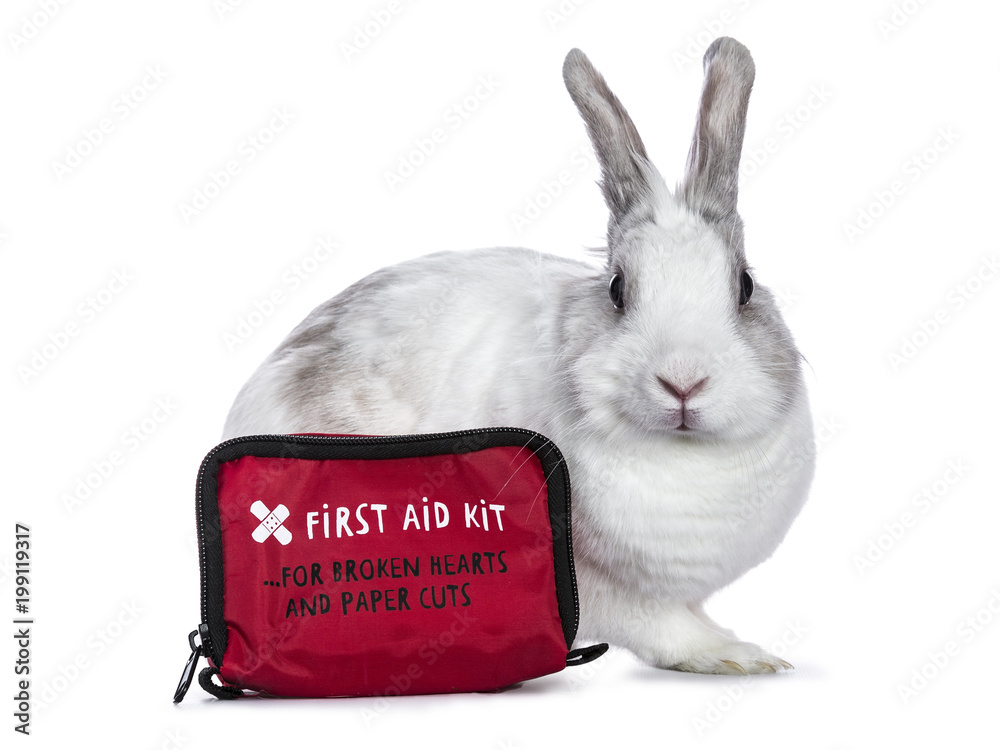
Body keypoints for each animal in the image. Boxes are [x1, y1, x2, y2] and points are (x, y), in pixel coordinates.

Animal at [223, 37, 815, 676]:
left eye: (744, 286)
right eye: (617, 289)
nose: (683, 382)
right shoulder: (610, 590)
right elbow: (665, 629)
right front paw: (735, 656)